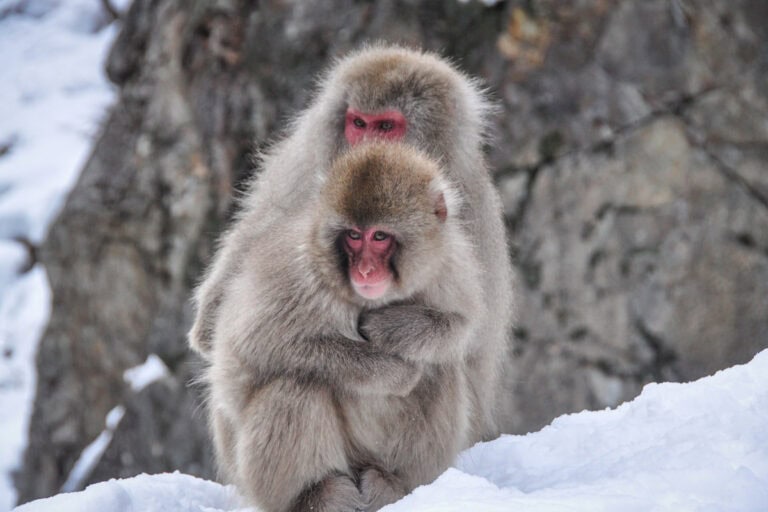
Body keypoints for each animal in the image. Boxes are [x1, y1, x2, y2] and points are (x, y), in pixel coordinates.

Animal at [189, 44, 514, 444]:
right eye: (359, 123)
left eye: (386, 126)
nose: (366, 145)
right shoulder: (305, 164)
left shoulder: (468, 205)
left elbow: (469, 330)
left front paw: (394, 327)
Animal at [202, 141, 483, 512]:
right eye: (352, 236)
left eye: (379, 236)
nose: (364, 270)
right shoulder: (299, 274)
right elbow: (252, 349)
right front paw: (393, 372)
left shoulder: (449, 264)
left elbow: (462, 326)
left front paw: (394, 327)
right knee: (296, 381)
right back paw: (317, 492)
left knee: (440, 368)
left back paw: (393, 483)